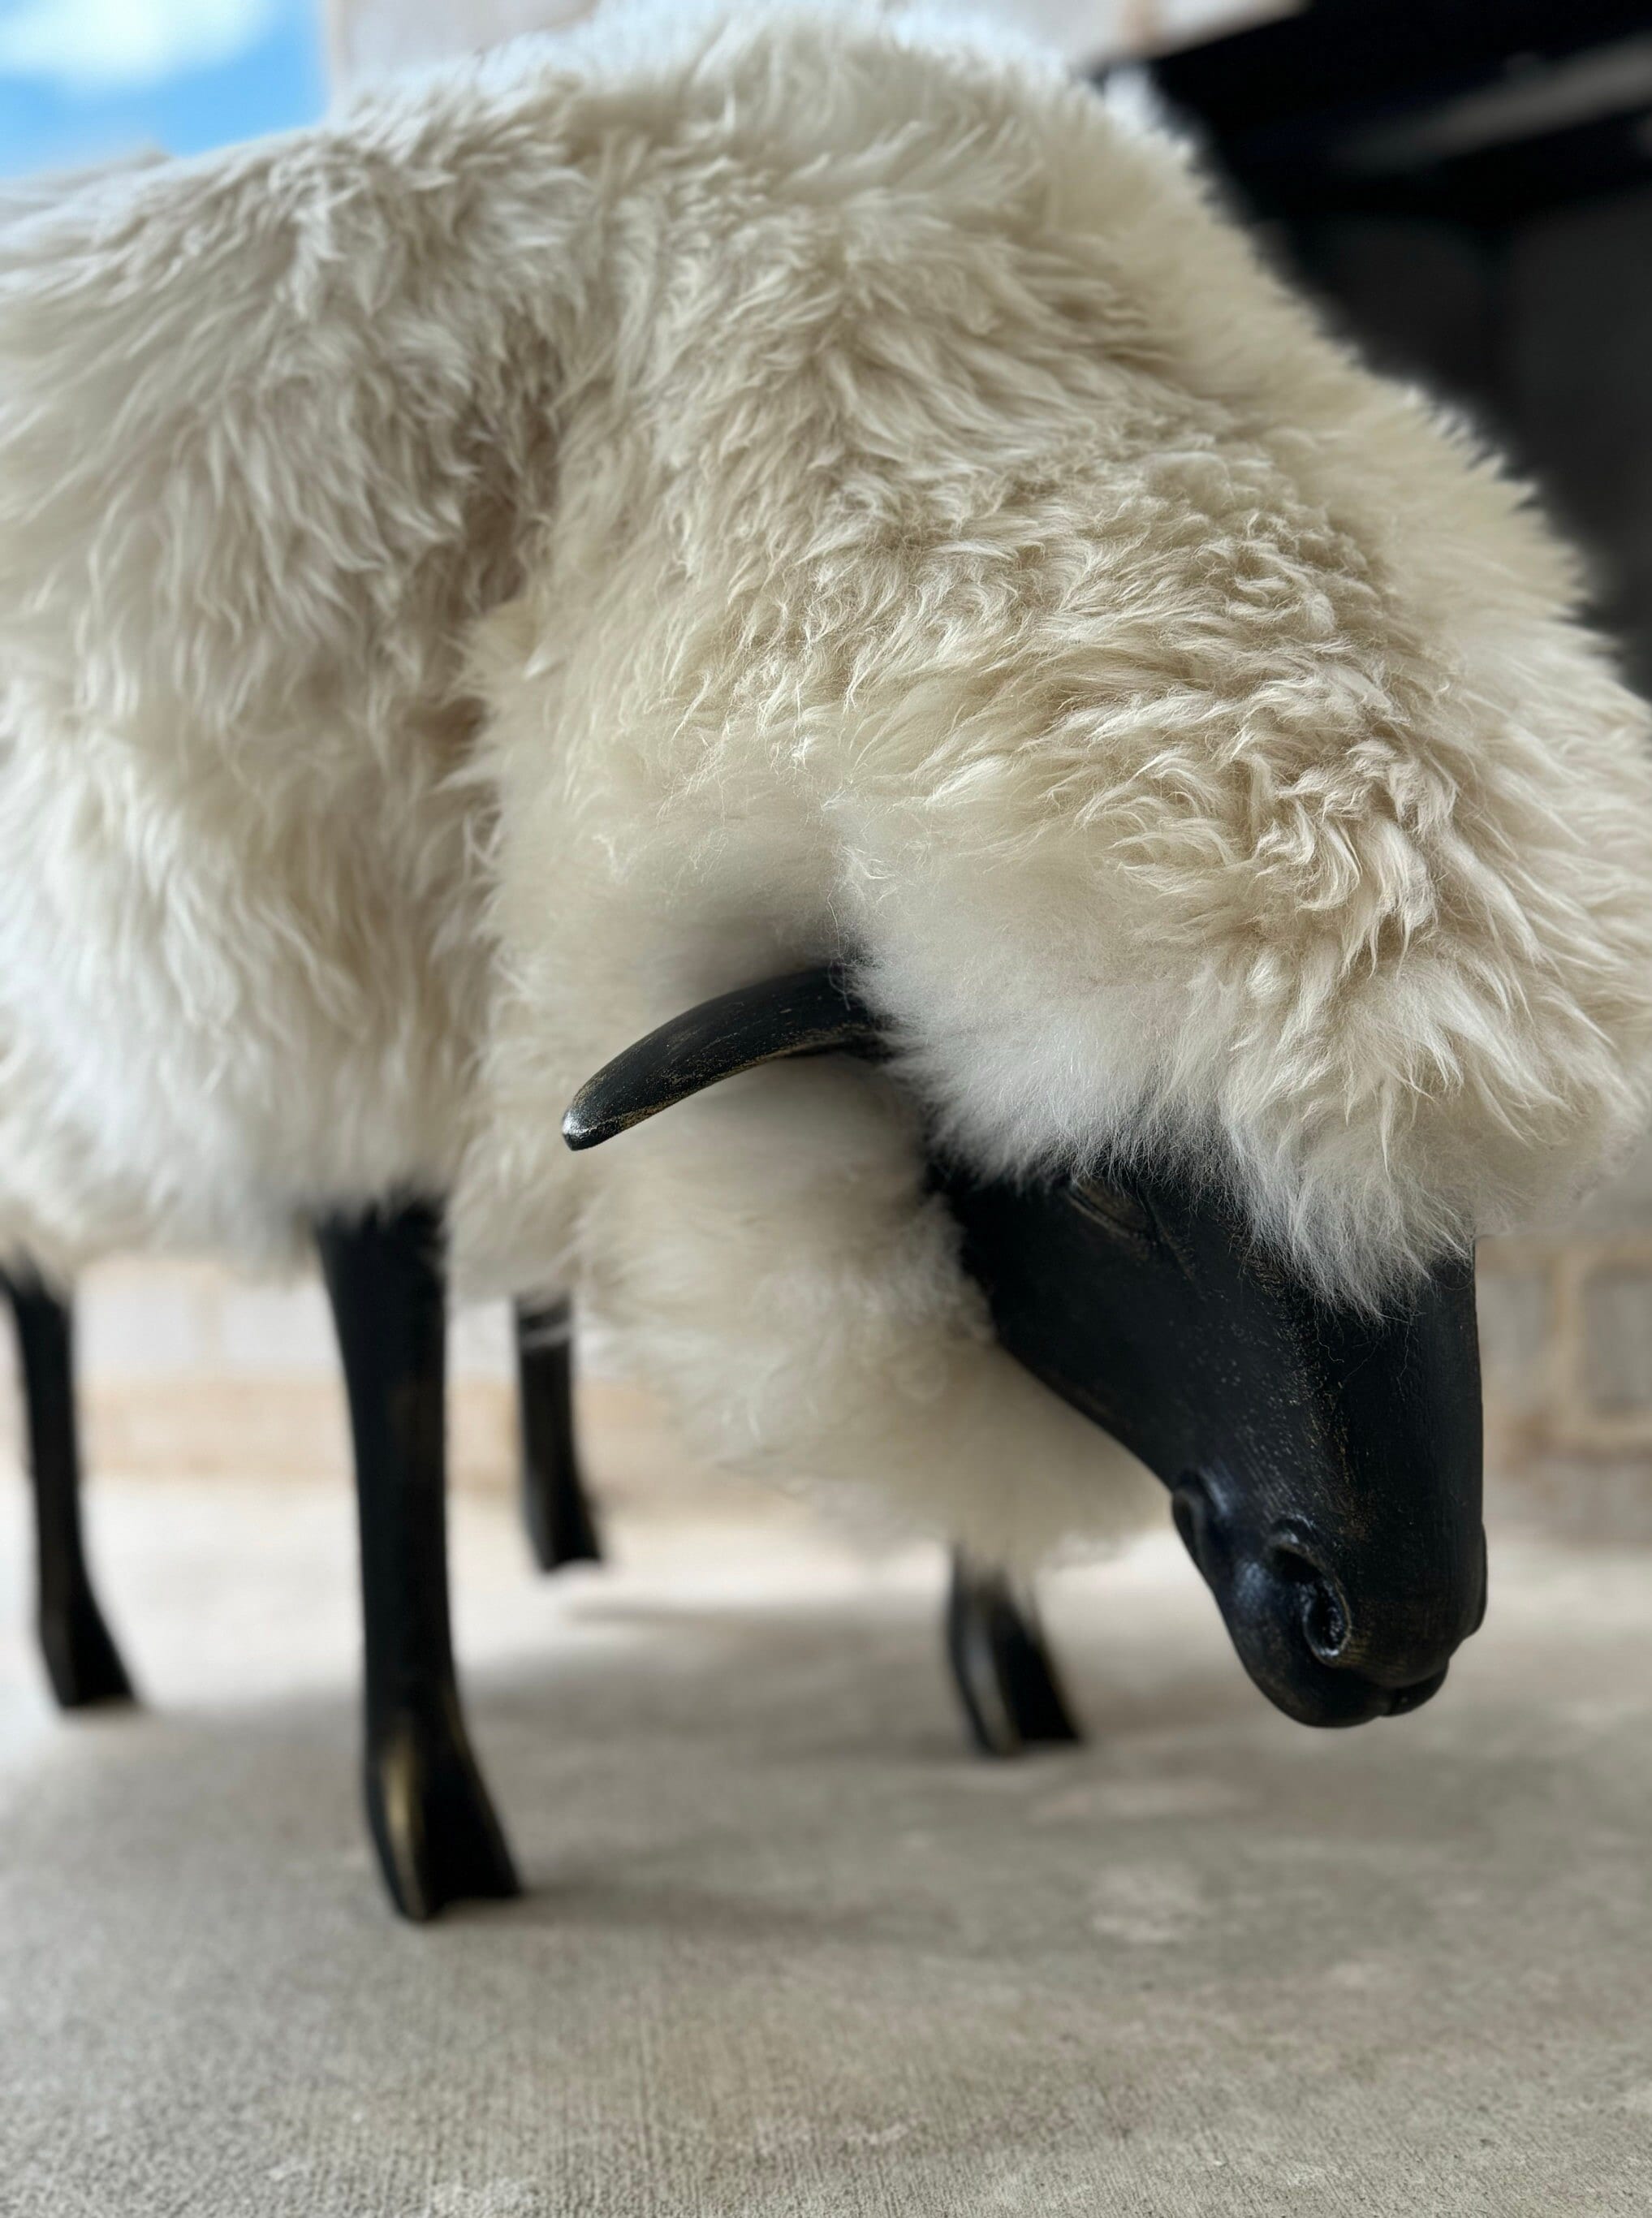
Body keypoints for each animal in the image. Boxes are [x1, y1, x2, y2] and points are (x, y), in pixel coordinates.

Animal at [1, 1, 1651, 1917]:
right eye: (1104, 1190)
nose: (1385, 1632)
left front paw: (1011, 1678)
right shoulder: (340, 1030)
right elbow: (390, 1396)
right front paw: (432, 1823)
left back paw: (564, 1539)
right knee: (44, 1324)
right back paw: (87, 1663)